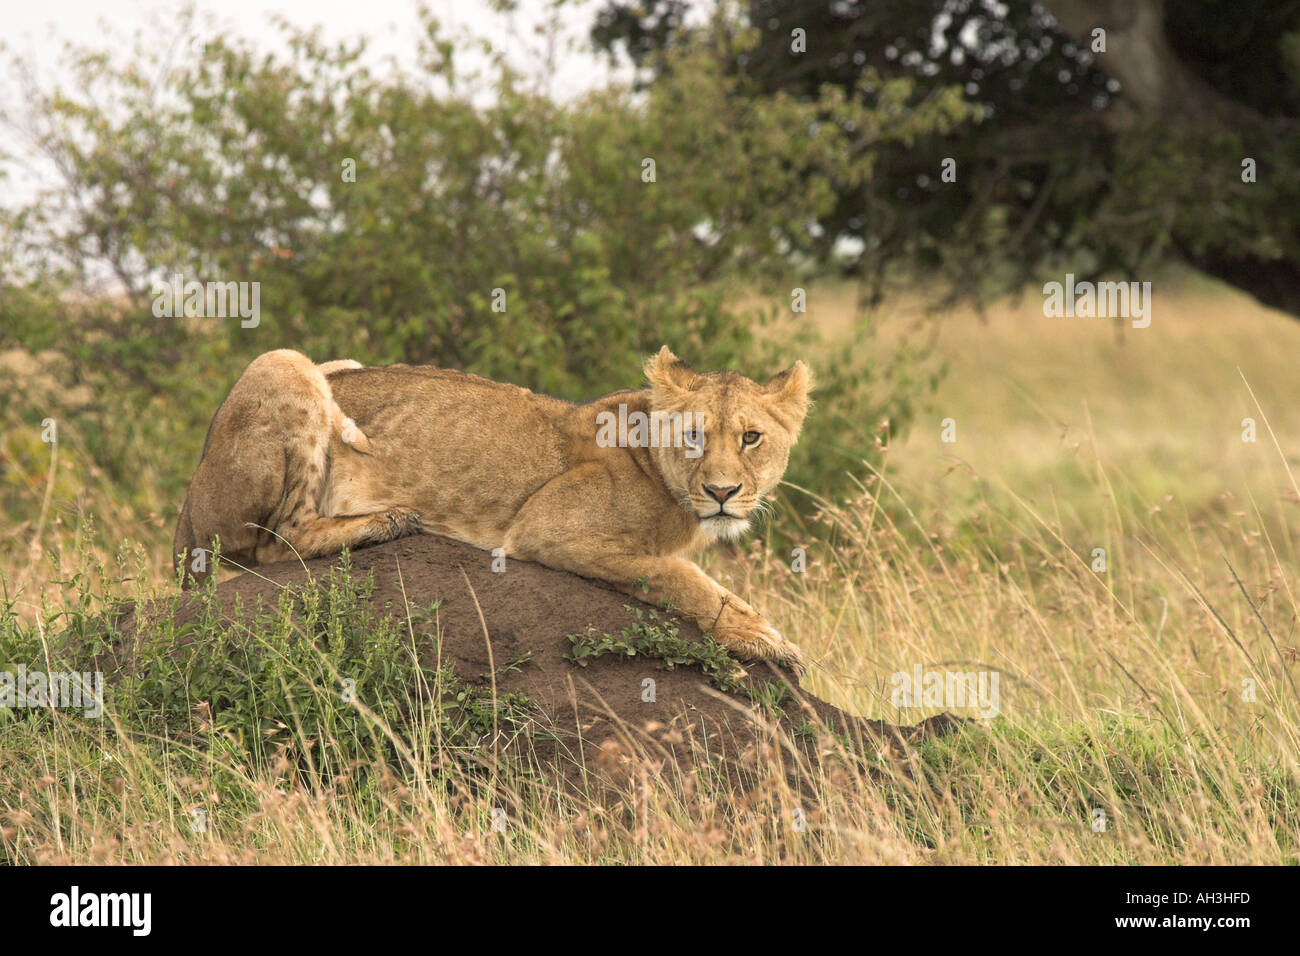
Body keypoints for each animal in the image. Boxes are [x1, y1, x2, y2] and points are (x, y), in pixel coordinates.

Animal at [172, 346, 813, 668]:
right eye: (695, 436)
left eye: (751, 438)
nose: (723, 492)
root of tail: (186, 505)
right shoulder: (548, 531)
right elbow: (681, 576)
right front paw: (764, 637)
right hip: (284, 366)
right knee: (273, 543)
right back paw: (387, 520)